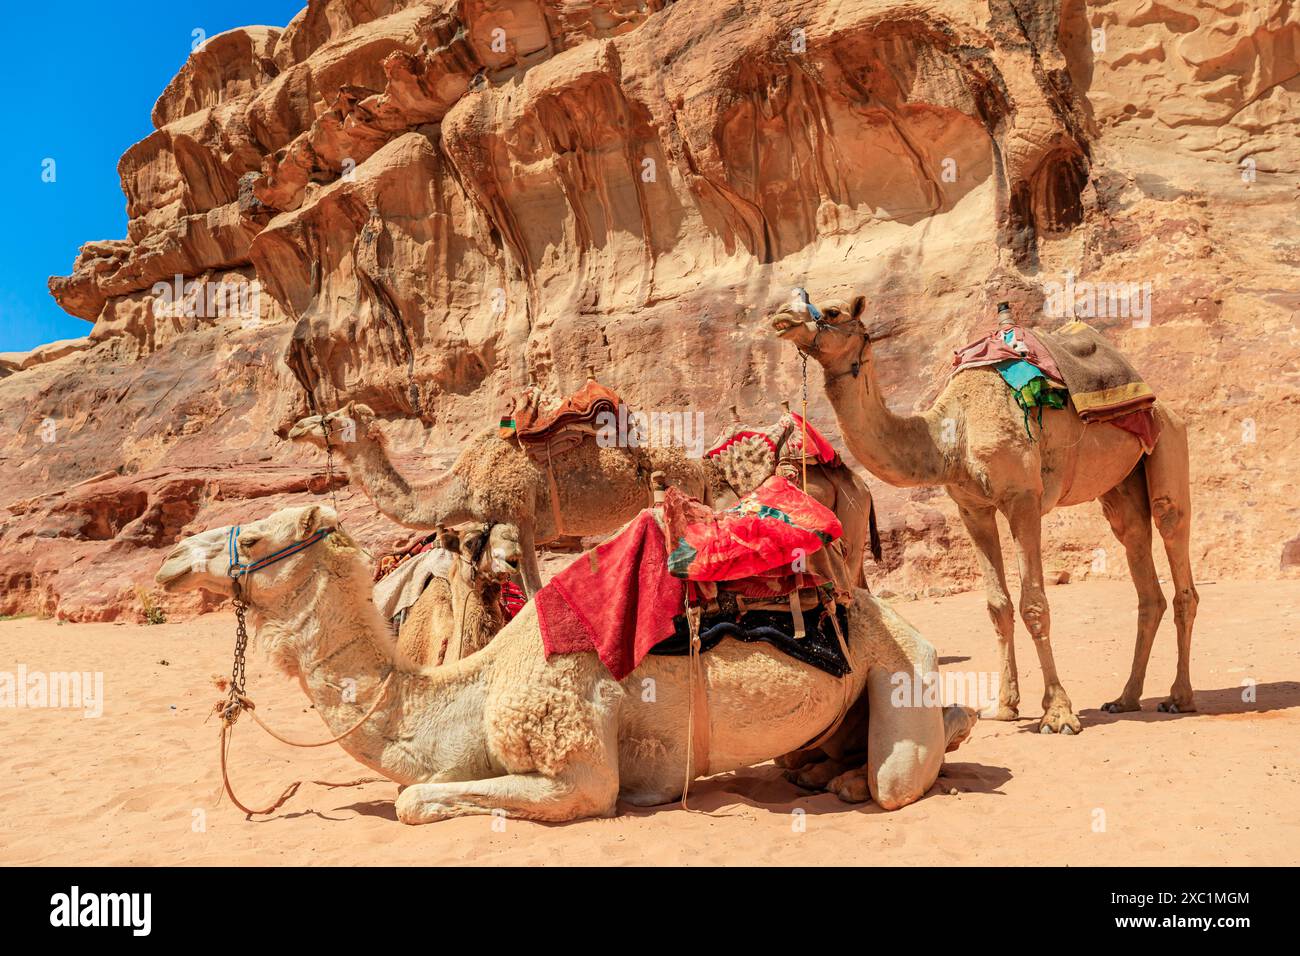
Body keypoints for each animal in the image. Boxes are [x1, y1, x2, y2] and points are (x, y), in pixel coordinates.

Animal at [157, 503, 976, 822]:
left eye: (261, 539)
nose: (170, 559)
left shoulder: (577, 768)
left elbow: (414, 799)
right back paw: (831, 770)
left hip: (897, 661)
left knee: (897, 776)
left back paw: (864, 774)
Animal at [287, 403, 707, 598]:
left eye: (329, 419)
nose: (294, 429)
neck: (461, 485)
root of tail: (695, 462)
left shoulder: (517, 517)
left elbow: (534, 591)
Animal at [770, 296, 1198, 734]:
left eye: (833, 312)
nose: (782, 317)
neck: (950, 437)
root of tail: (1157, 401)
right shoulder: (971, 508)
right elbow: (998, 606)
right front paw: (1005, 705)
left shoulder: (1023, 498)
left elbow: (1034, 605)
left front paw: (1058, 713)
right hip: (1121, 484)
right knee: (1139, 560)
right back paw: (1126, 698)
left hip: (1168, 439)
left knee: (1173, 532)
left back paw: (1179, 697)